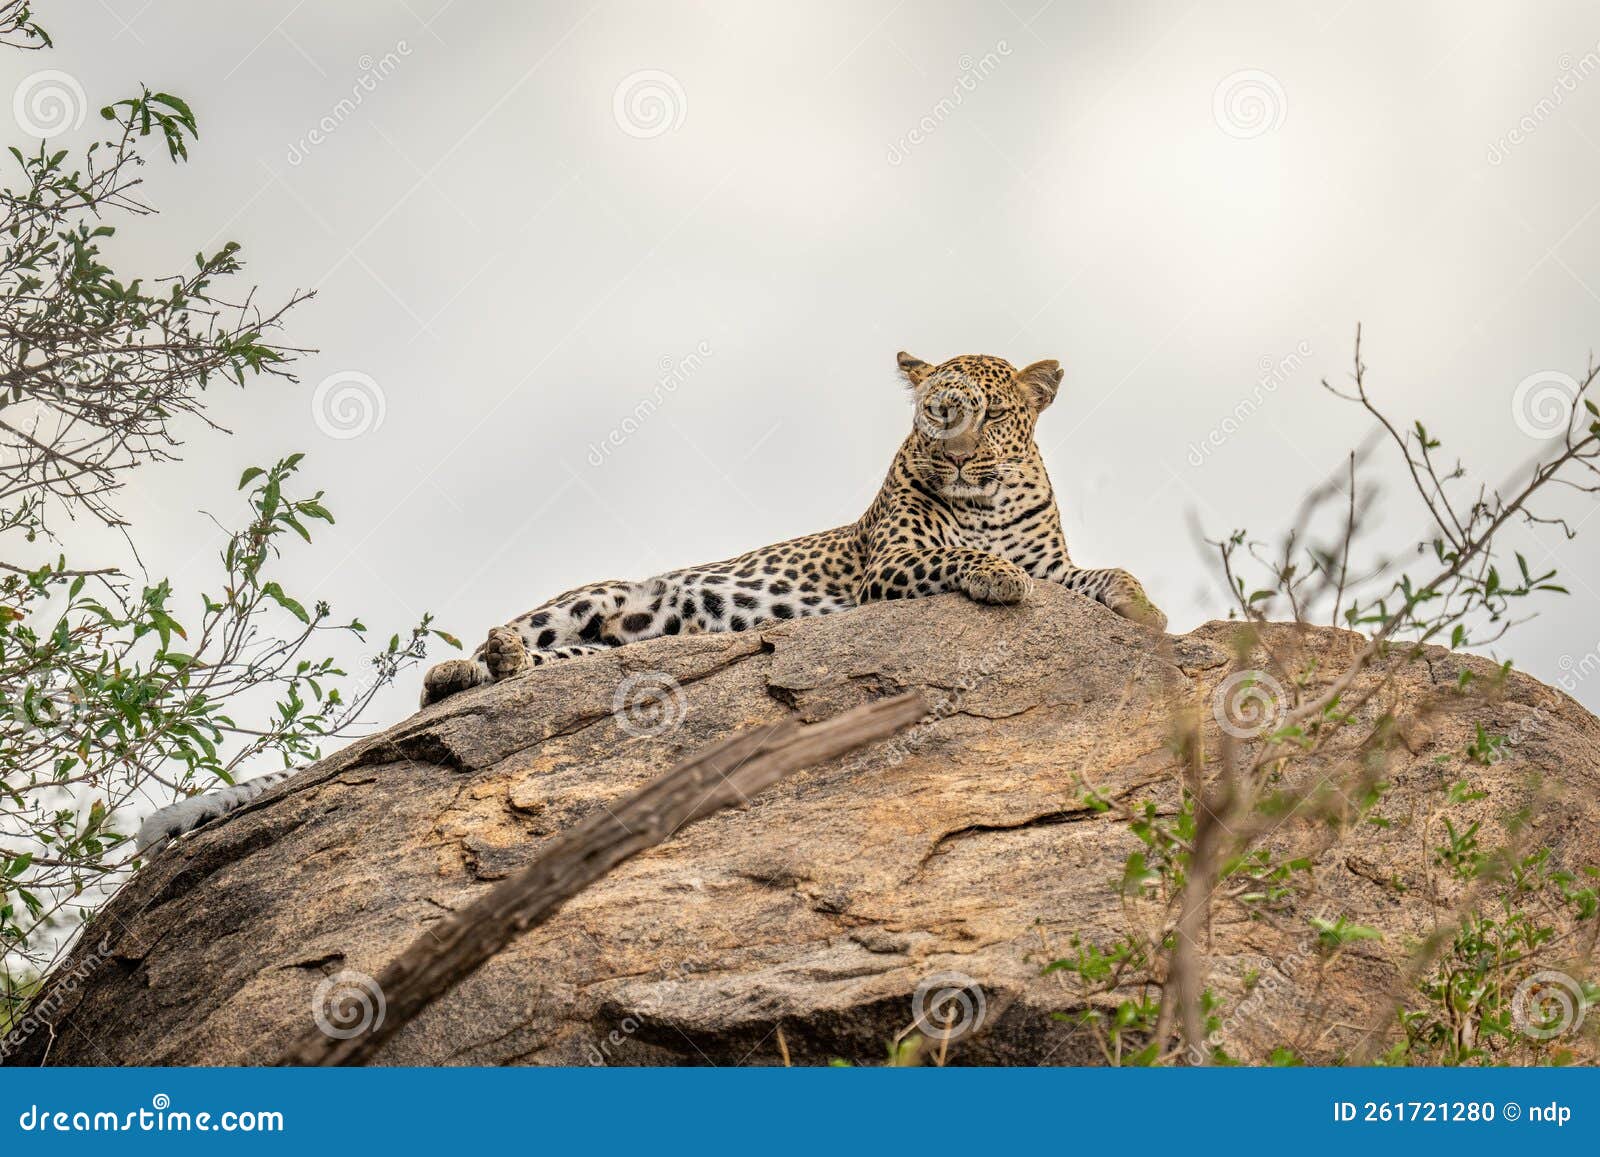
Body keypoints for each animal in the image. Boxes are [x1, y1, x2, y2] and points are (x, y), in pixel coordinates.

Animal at [136, 351, 1162, 855]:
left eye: (984, 412)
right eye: (933, 412)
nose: (948, 451)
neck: (987, 495)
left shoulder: (1051, 552)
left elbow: (1098, 578)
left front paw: (1143, 611)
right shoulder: (896, 559)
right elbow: (961, 559)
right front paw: (994, 577)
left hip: (620, 641)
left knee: (555, 661)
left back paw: (515, 665)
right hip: (599, 588)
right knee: (467, 662)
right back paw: (479, 661)